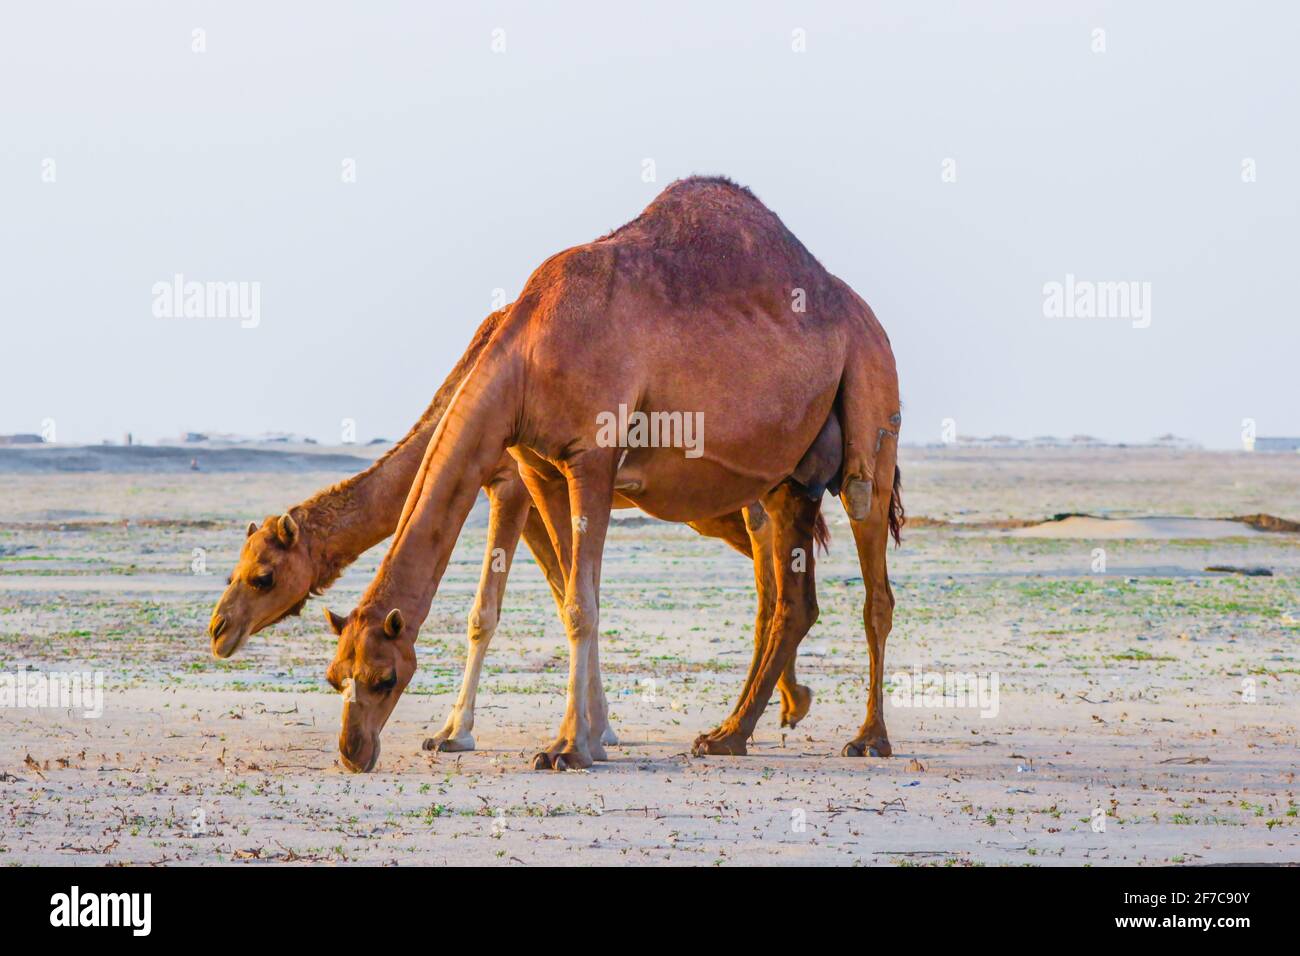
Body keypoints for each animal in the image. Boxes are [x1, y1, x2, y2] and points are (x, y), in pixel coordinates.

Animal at [207, 313, 816, 751]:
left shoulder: (512, 485)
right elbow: (564, 589)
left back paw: (772, 712)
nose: (219, 630)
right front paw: (596, 727)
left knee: (771, 567)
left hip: (732, 498)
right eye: (238, 567)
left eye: (263, 575)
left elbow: (501, 608)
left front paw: (467, 732)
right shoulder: (525, 489)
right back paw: (788, 703)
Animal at [326, 176, 902, 772]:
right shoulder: (539, 469)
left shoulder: (592, 459)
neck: (527, 355)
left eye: (384, 677)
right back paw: (727, 735)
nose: (351, 752)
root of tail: (865, 316)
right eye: (335, 677)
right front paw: (583, 737)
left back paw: (868, 737)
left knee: (871, 563)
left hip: (871, 400)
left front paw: (567, 747)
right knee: (793, 599)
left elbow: (581, 605)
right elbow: (575, 600)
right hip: (788, 476)